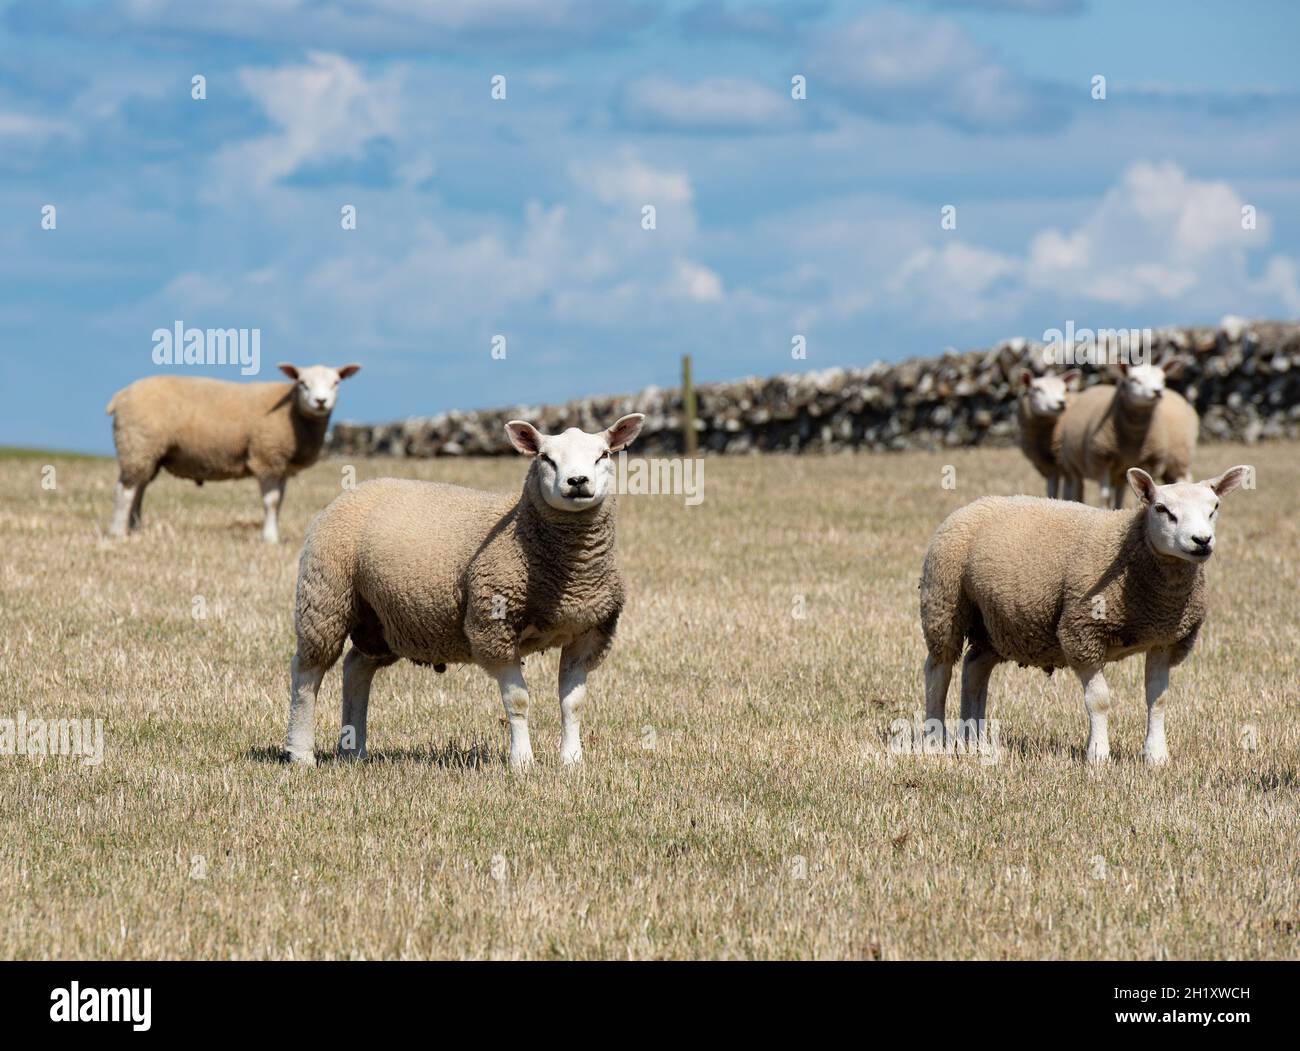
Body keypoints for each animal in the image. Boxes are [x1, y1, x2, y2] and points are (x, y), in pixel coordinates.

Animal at [106, 363, 360, 543]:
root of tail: (120, 395)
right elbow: (271, 501)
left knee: (139, 489)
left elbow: (279, 501)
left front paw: (273, 531)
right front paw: (270, 538)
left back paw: (135, 528)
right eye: (302, 383)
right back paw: (118, 532)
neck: (293, 412)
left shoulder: (281, 466)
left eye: (336, 382)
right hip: (136, 445)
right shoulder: (266, 457)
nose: (321, 401)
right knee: (125, 490)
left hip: (146, 453)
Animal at [284, 413, 646, 769]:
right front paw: (522, 762)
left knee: (356, 667)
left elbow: (573, 702)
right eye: (545, 457)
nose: (577, 481)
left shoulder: (590, 630)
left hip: (386, 620)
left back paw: (354, 749)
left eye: (603, 454)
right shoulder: (493, 627)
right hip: (325, 596)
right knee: (308, 672)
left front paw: (572, 762)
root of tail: (357, 489)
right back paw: (301, 754)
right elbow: (518, 700)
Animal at [918, 464, 1252, 765]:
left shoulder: (1164, 639)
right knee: (939, 670)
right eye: (1161, 509)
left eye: (1215, 508)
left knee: (974, 670)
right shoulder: (1082, 632)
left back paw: (976, 743)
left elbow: (1158, 699)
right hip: (944, 601)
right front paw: (1098, 755)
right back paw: (935, 742)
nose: (1202, 541)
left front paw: (1156, 756)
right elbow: (1099, 700)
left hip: (999, 624)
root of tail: (974, 504)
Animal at [1015, 368, 1079, 498]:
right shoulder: (1051, 468)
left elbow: (1069, 495)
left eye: (1065, 389)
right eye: (1037, 389)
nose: (1061, 403)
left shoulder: (1068, 470)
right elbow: (1052, 492)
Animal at [1054, 361, 1198, 508]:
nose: (1157, 391)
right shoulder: (1102, 460)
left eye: (1163, 380)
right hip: (1074, 466)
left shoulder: (1148, 461)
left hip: (1179, 457)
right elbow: (1105, 496)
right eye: (1134, 379)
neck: (1134, 438)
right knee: (1076, 488)